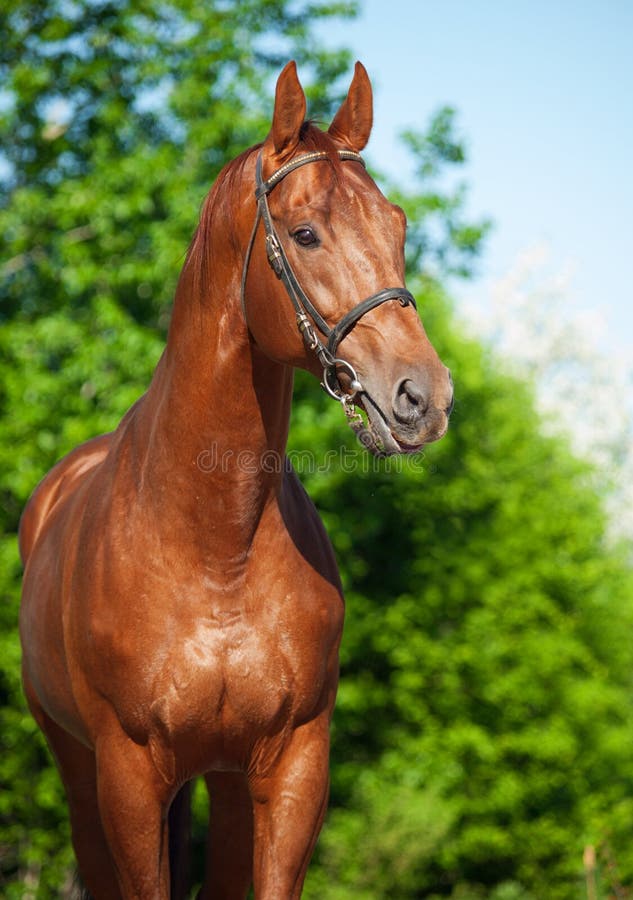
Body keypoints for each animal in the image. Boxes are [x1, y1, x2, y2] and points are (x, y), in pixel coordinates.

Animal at [19, 61, 453, 899]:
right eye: (305, 232)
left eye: (397, 226)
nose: (423, 396)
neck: (217, 544)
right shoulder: (128, 776)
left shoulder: (291, 769)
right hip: (77, 766)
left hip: (218, 779)